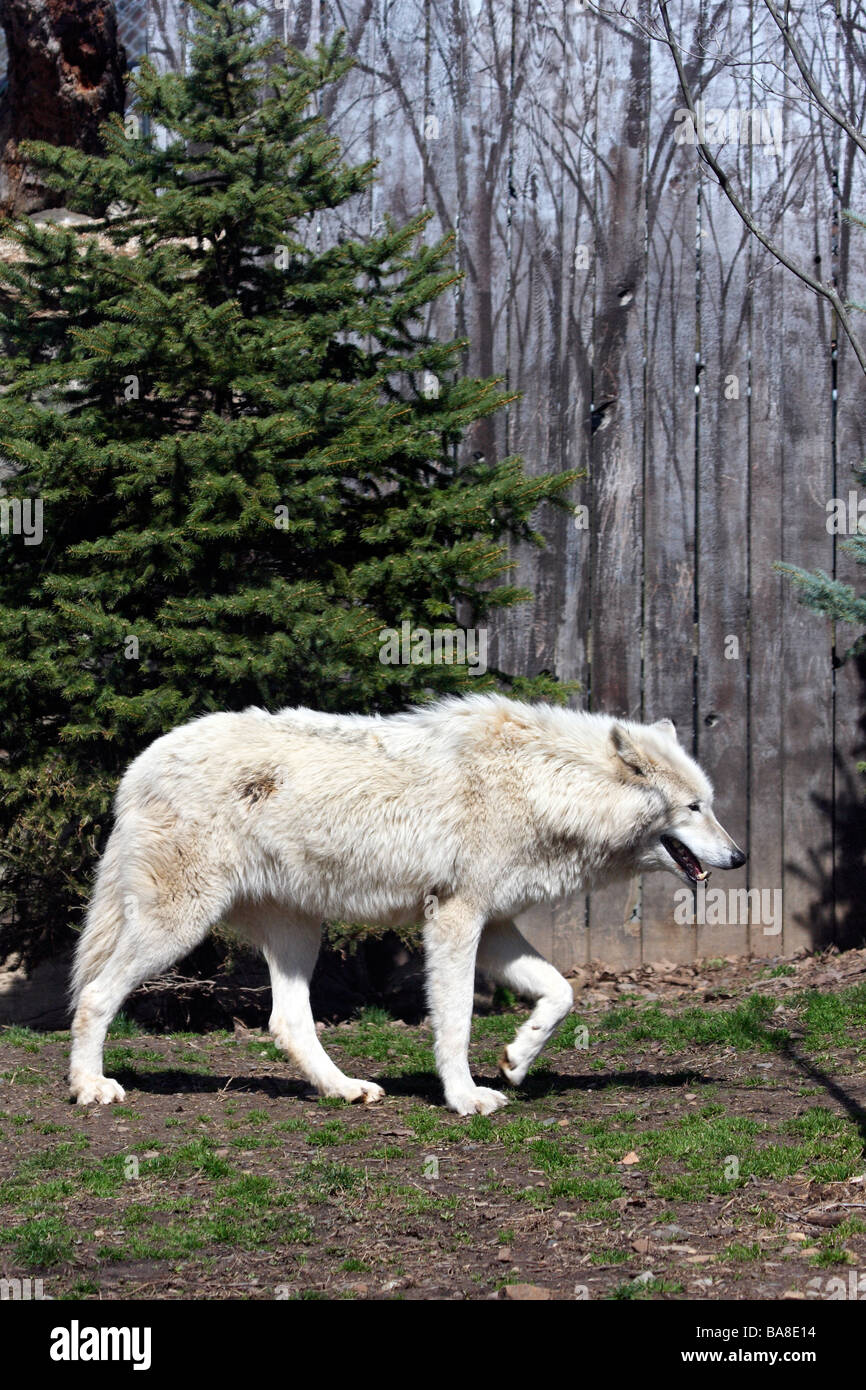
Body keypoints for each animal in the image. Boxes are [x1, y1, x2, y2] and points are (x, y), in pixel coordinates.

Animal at [69, 695, 745, 1115]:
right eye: (694, 807)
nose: (740, 856)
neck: (547, 786)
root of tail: (138, 765)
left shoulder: (494, 926)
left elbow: (561, 993)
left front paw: (517, 1060)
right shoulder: (454, 920)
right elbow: (456, 1021)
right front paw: (466, 1098)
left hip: (299, 932)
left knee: (287, 1022)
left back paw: (345, 1091)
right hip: (179, 927)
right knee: (94, 996)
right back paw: (90, 1087)